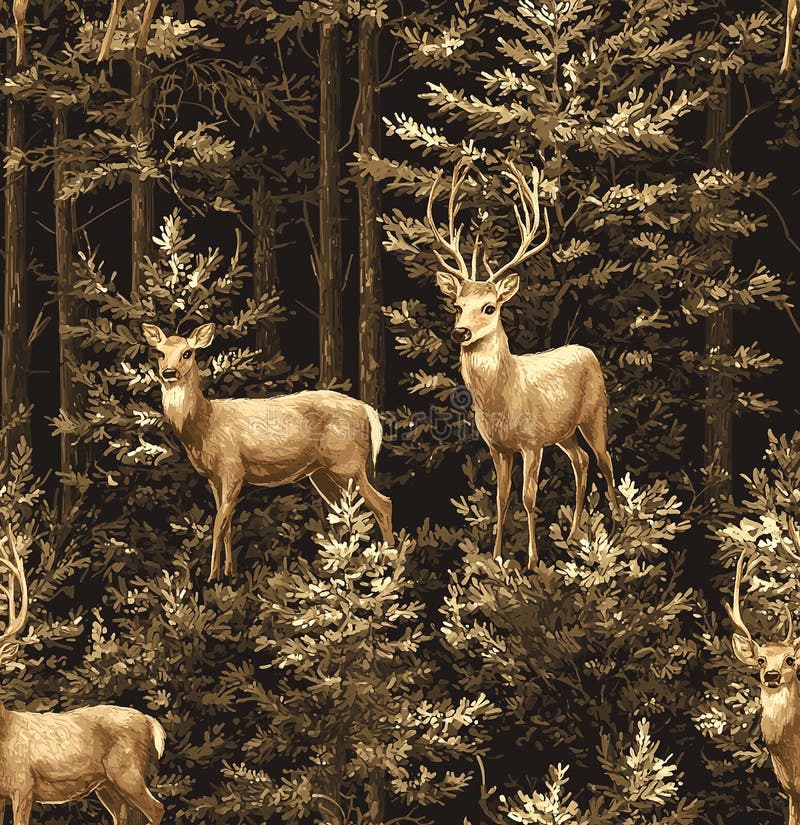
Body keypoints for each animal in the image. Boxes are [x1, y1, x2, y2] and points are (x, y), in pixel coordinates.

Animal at [0, 522, 166, 824]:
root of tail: (151, 723)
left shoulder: (23, 785)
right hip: (106, 784)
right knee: (125, 813)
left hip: (127, 770)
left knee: (156, 808)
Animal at [142, 322, 393, 582]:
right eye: (159, 353)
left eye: (187, 352)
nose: (169, 372)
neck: (205, 424)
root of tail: (368, 411)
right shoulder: (213, 478)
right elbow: (227, 524)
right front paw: (229, 573)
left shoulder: (233, 470)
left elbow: (219, 524)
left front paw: (212, 577)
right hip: (323, 472)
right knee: (344, 512)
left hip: (348, 463)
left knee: (383, 504)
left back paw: (389, 565)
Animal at [426, 160, 620, 570]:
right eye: (457, 306)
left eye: (489, 307)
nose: (460, 332)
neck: (502, 398)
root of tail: (587, 351)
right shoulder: (498, 446)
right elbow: (502, 498)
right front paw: (498, 556)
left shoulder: (531, 441)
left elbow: (530, 498)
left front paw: (531, 562)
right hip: (562, 432)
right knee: (581, 462)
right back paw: (575, 535)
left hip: (595, 412)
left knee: (605, 459)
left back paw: (618, 526)